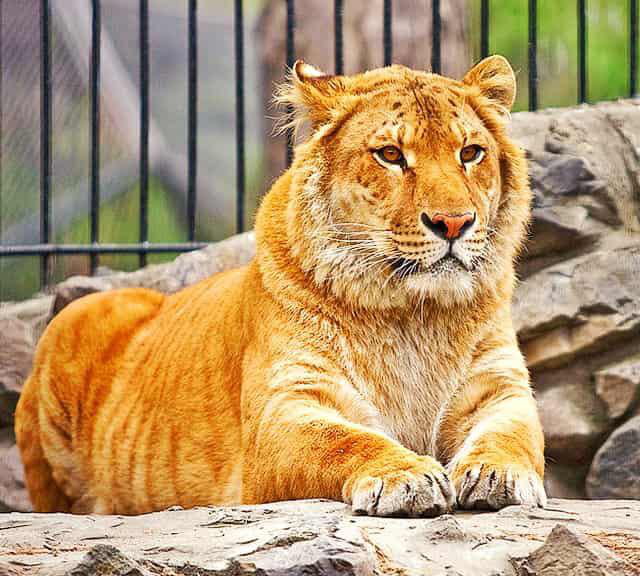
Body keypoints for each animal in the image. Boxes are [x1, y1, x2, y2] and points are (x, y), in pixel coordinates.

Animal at [15, 55, 546, 517]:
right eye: (391, 155)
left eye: (470, 153)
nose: (453, 223)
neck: (410, 312)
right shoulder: (284, 412)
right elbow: (346, 441)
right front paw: (406, 475)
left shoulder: (501, 390)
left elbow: (513, 435)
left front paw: (500, 474)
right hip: (74, 323)